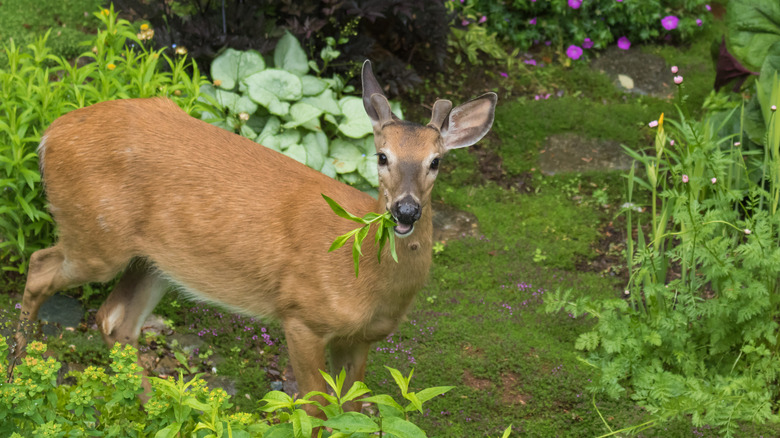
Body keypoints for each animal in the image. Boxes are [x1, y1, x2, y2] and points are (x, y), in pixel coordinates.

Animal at [11, 60, 497, 415]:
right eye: (382, 156)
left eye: (435, 161)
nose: (406, 210)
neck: (367, 278)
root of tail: (48, 134)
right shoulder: (301, 315)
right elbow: (316, 409)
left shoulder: (360, 339)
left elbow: (352, 409)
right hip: (95, 236)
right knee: (39, 267)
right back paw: (17, 369)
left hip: (156, 261)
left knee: (115, 320)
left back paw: (155, 410)